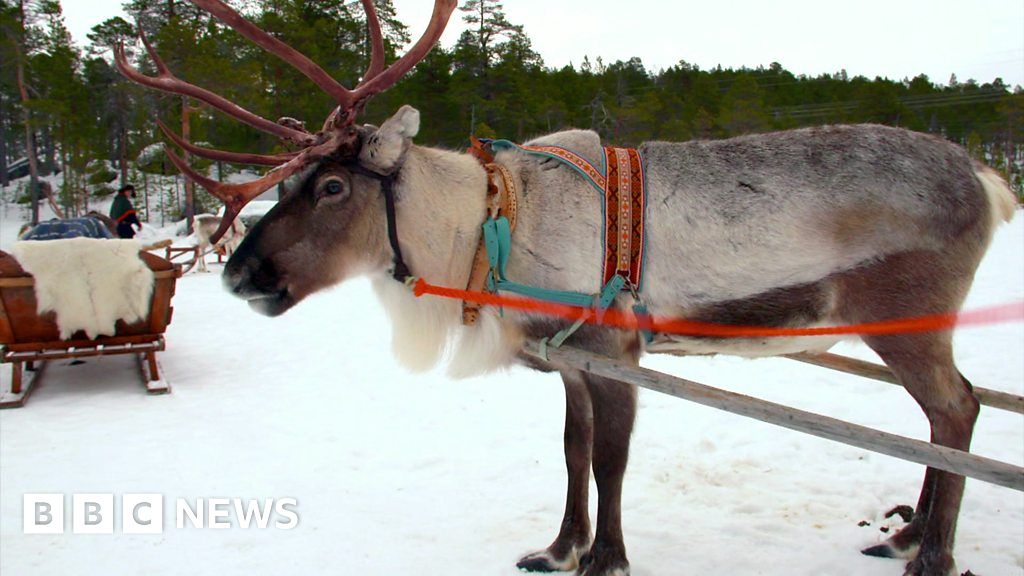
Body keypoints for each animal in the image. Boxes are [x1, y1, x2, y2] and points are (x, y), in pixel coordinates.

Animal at [116, 1, 1017, 575]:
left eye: (332, 186)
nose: (240, 274)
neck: (484, 229)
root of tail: (987, 178)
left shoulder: (615, 350)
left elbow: (613, 461)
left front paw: (606, 560)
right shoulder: (570, 363)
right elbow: (573, 453)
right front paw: (558, 549)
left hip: (907, 319)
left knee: (956, 410)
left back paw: (933, 555)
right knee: (952, 413)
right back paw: (908, 536)